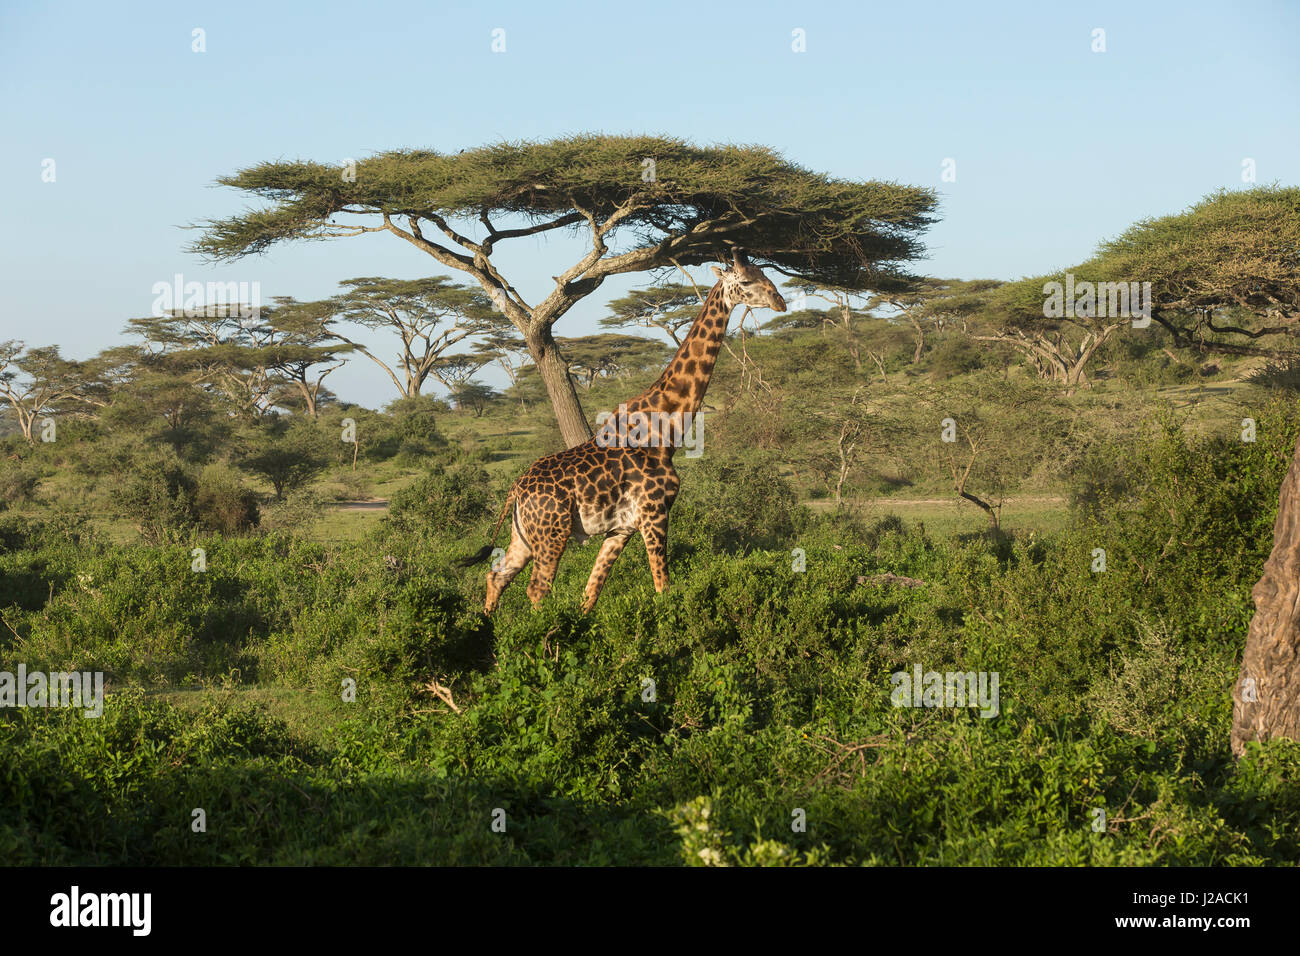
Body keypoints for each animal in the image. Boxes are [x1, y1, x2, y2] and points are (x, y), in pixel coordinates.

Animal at [460, 248, 786, 614]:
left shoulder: (621, 528)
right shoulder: (654, 514)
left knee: (496, 576)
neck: (667, 431)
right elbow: (663, 586)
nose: (780, 302)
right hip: (551, 534)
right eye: (745, 281)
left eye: (764, 274)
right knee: (537, 589)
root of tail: (516, 489)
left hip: (524, 536)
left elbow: (591, 593)